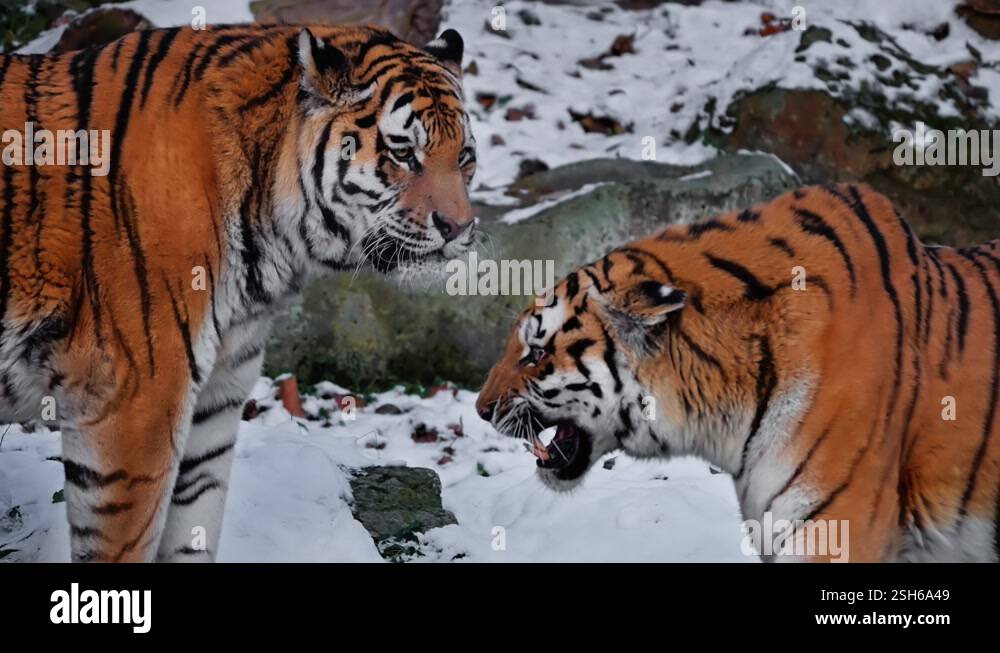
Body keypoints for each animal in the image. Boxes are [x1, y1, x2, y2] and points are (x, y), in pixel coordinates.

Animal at [0, 23, 478, 562]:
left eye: (464, 157)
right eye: (403, 153)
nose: (460, 227)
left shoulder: (215, 399)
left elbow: (193, 529)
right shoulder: (132, 404)